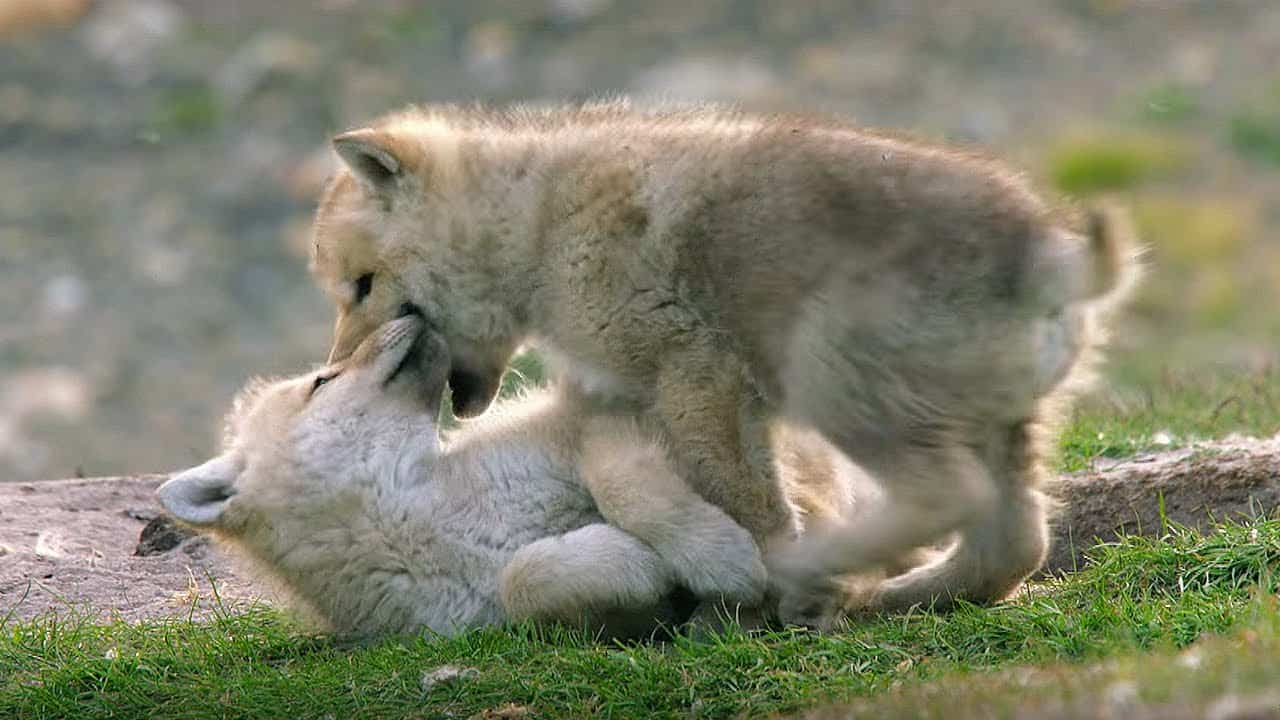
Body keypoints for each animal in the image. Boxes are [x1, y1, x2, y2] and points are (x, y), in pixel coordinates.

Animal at [309, 100, 1137, 625]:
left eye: (362, 285)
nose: (335, 368)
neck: (534, 223)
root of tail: (1058, 262)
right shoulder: (635, 402)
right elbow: (678, 494)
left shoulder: (698, 380)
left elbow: (746, 505)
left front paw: (747, 595)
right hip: (1000, 422)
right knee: (1013, 544)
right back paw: (895, 596)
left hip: (833, 375)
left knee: (947, 498)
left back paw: (816, 577)